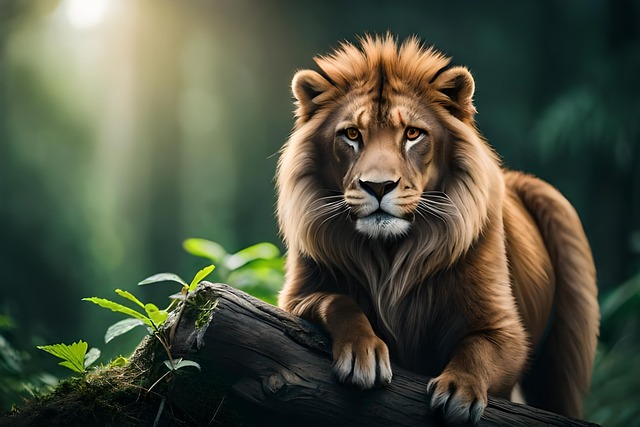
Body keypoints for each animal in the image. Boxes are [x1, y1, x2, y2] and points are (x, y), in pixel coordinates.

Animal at [275, 34, 599, 424]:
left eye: (413, 134)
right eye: (351, 134)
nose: (378, 186)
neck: (390, 253)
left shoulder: (506, 330)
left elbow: (478, 347)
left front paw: (459, 389)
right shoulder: (294, 299)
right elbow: (337, 301)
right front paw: (361, 352)